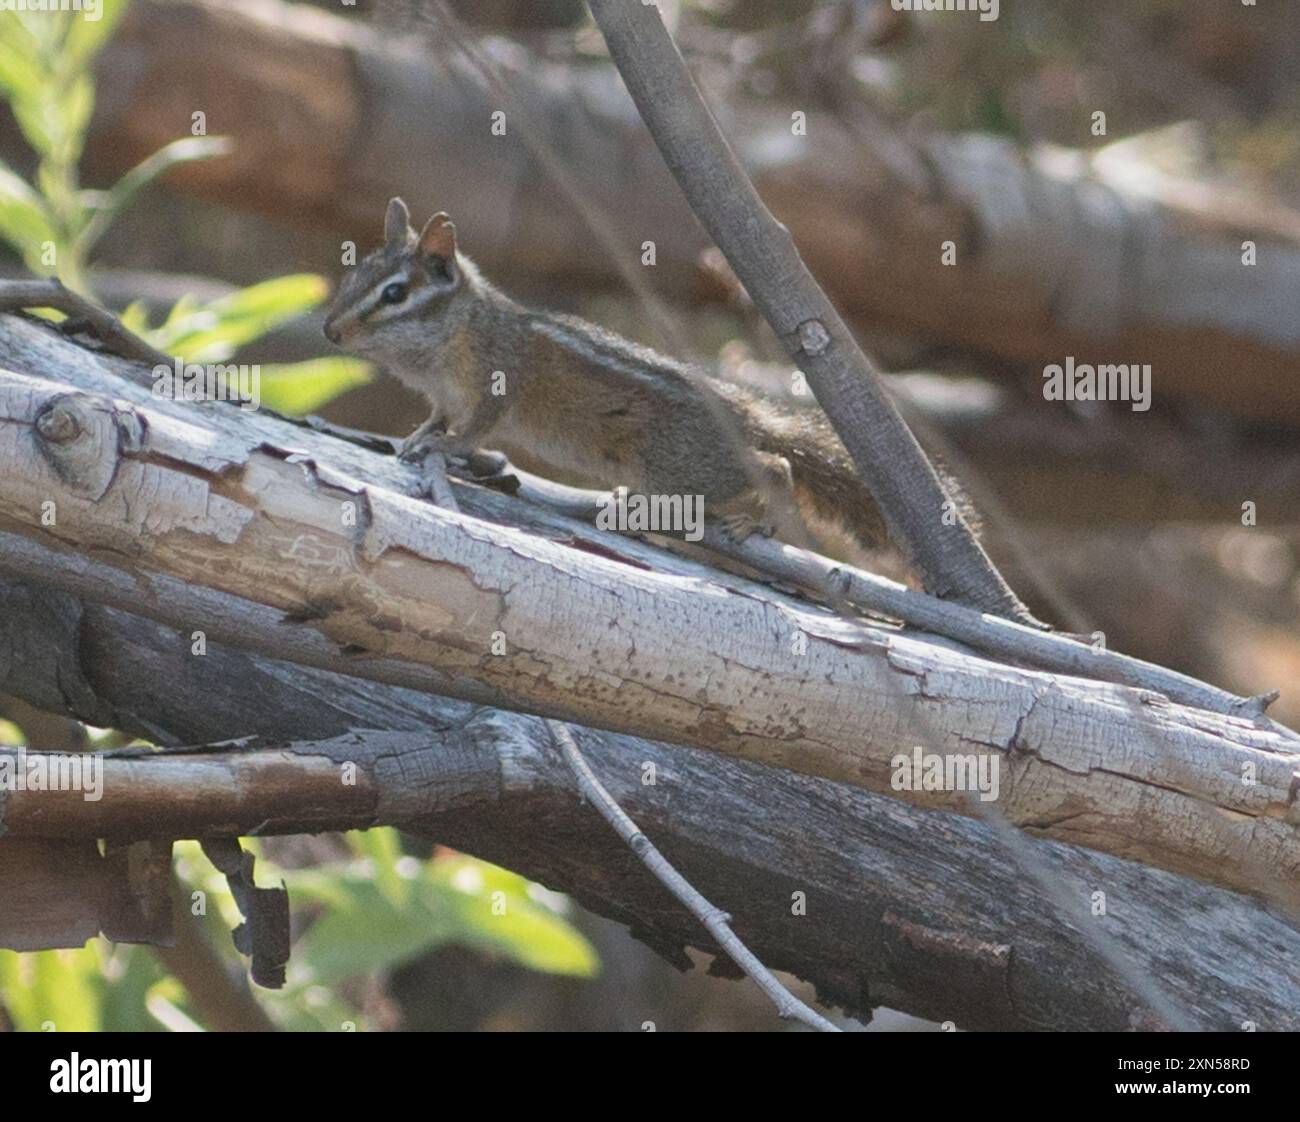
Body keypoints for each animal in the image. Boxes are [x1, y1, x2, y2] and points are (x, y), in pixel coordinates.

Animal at [323, 198, 889, 564]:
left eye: (395, 294)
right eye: (354, 274)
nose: (330, 331)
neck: (443, 345)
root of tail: (745, 414)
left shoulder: (496, 383)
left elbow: (474, 429)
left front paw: (447, 447)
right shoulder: (443, 398)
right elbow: (437, 418)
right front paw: (418, 438)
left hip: (681, 468)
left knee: (775, 466)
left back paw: (760, 519)